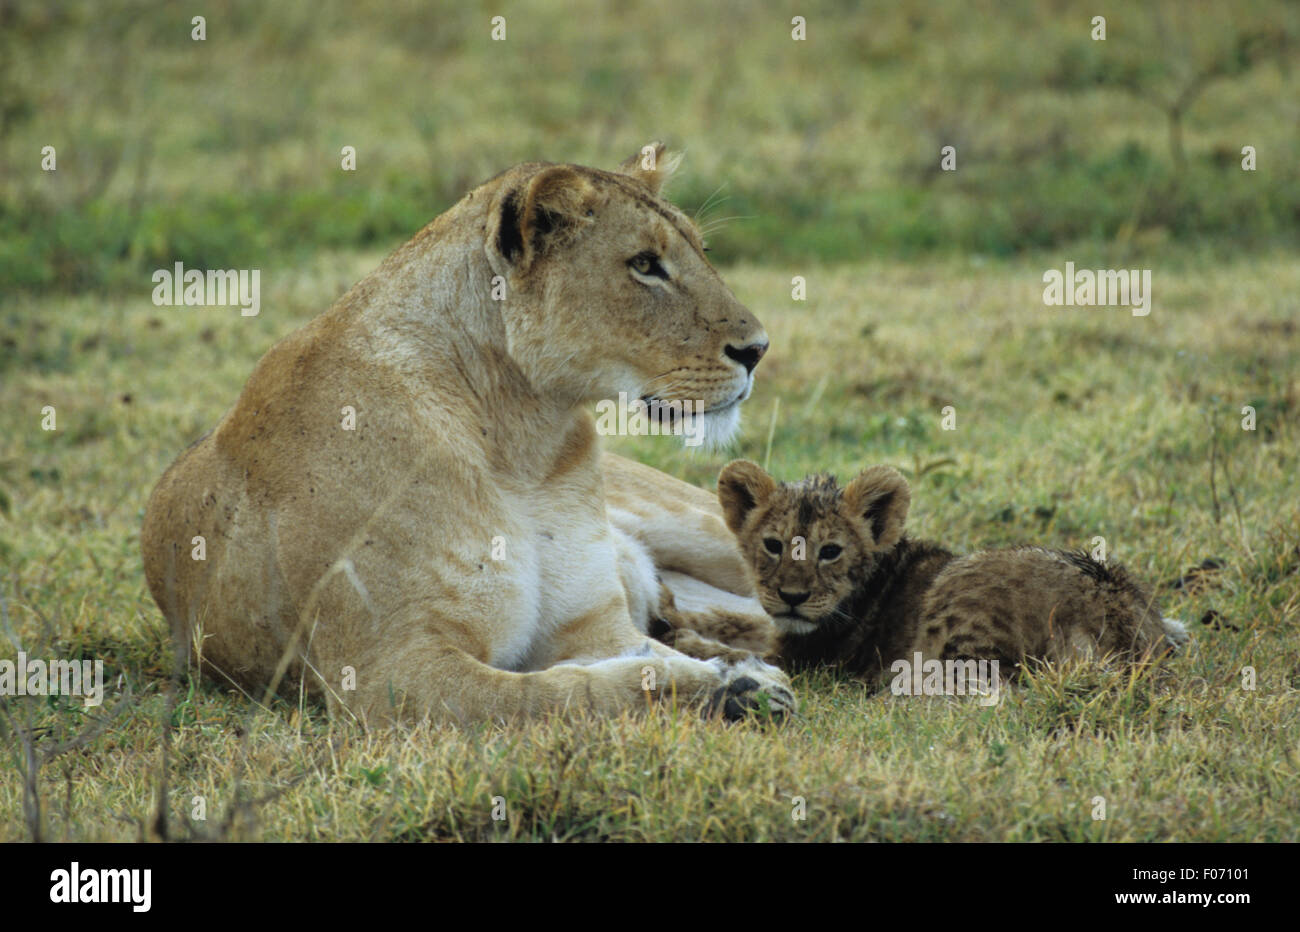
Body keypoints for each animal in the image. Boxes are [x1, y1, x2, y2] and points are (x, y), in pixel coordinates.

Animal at [140, 144, 791, 725]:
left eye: (701, 251)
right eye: (644, 264)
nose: (757, 350)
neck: (522, 434)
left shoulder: (590, 623)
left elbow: (624, 664)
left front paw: (738, 679)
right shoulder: (388, 674)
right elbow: (563, 694)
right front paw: (728, 689)